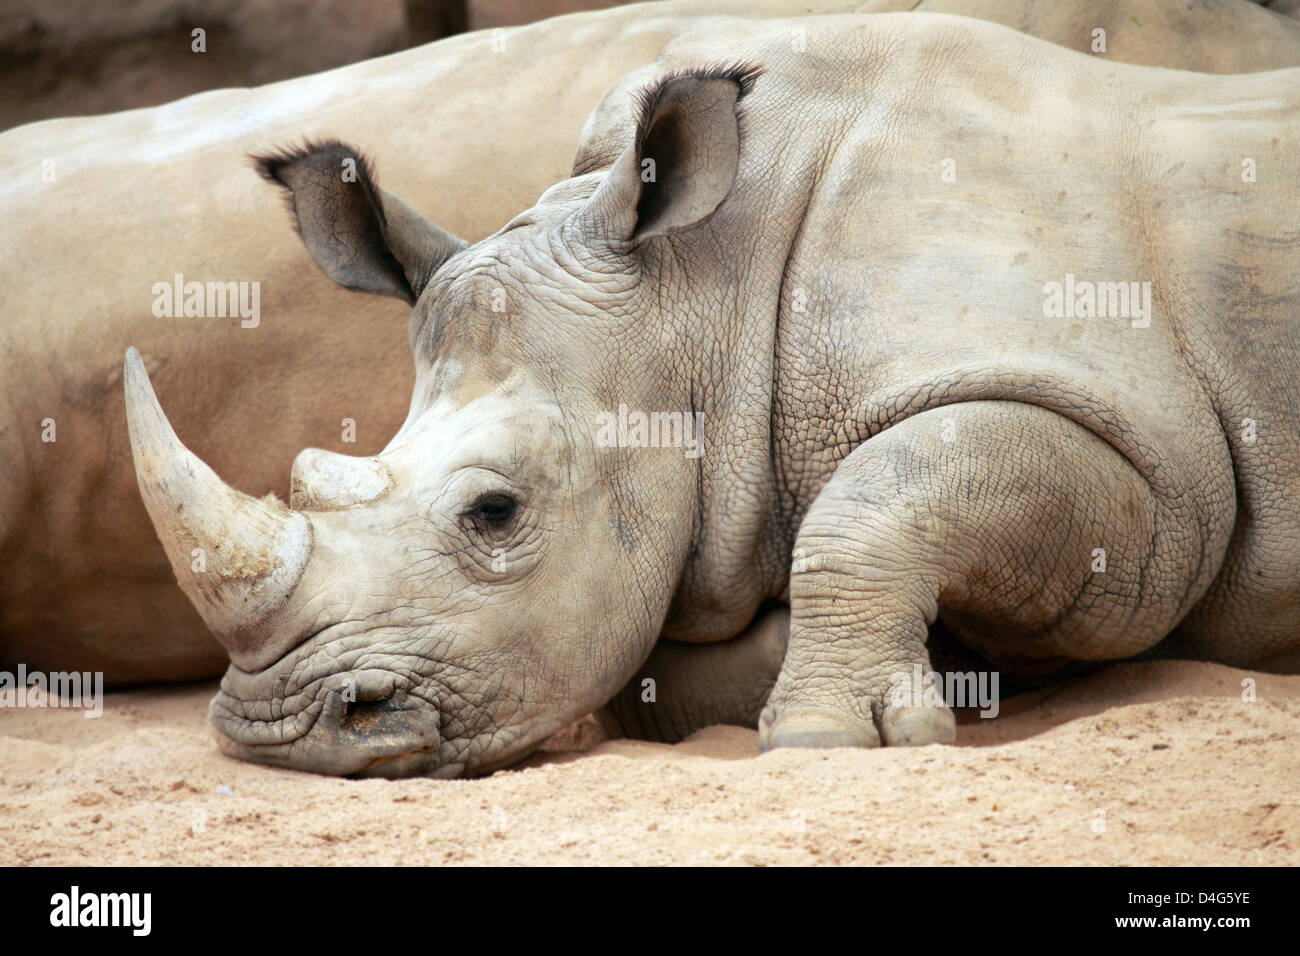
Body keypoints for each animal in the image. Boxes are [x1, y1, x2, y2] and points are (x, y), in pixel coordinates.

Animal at [119, 10, 1300, 776]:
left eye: (495, 511)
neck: (703, 294)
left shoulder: (1149, 458)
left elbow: (890, 492)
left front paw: (831, 736)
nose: (276, 728)